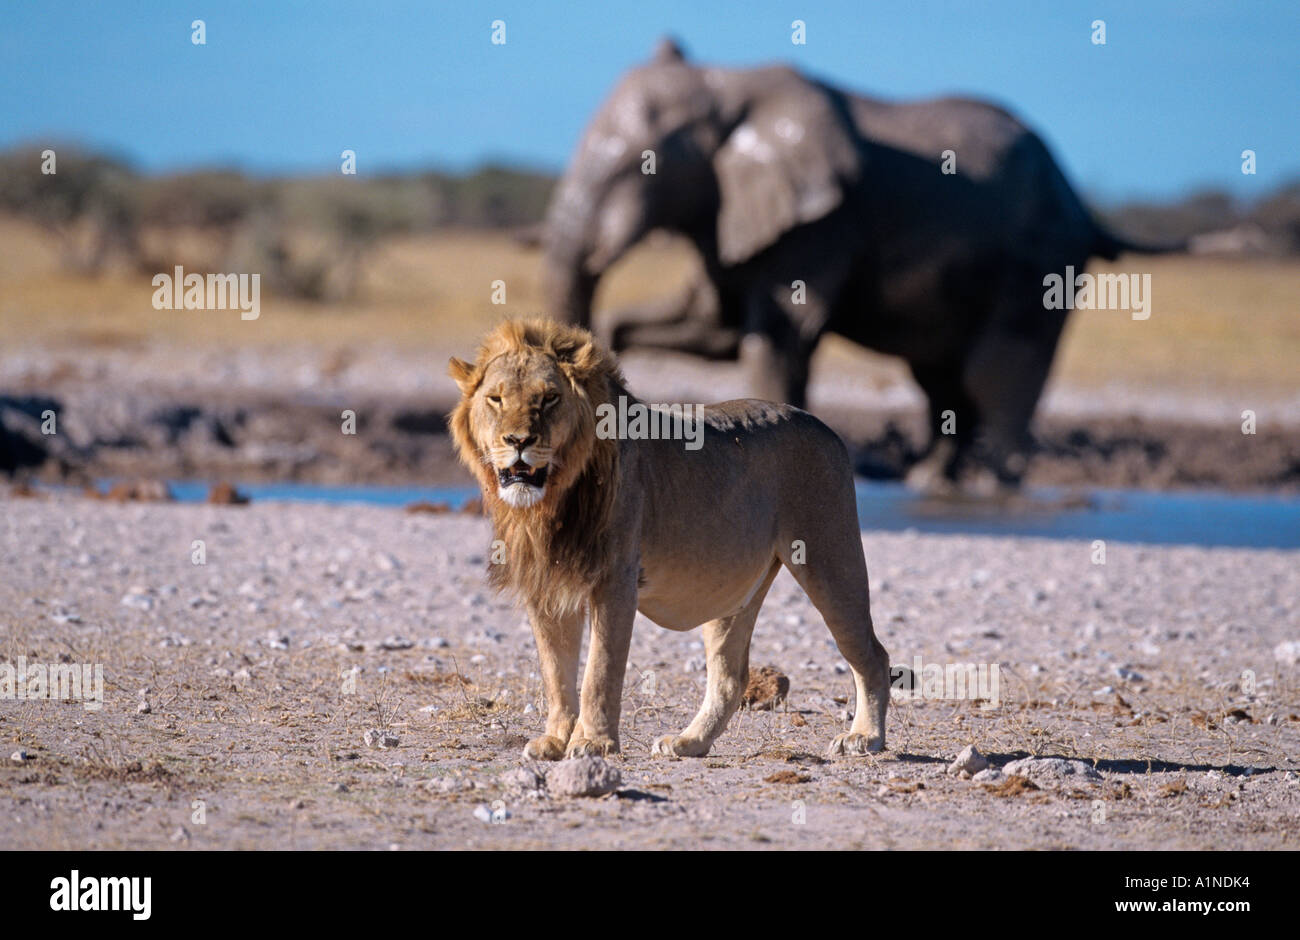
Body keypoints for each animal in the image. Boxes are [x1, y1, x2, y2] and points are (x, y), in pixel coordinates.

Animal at [448, 318, 889, 760]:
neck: (550, 501)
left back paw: (864, 736)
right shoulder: (545, 586)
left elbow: (599, 671)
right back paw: (689, 741)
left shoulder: (616, 579)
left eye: (551, 398)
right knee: (731, 676)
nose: (518, 441)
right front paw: (556, 740)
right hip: (727, 588)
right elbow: (556, 673)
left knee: (872, 654)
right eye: (496, 399)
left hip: (830, 558)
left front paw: (593, 742)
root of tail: (825, 427)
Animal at [541, 39, 1177, 490]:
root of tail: (1083, 205)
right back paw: (931, 481)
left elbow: (777, 340)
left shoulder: (821, 223)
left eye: (645, 163)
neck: (731, 82)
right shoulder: (728, 213)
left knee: (994, 372)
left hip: (1039, 261)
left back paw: (995, 488)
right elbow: (714, 330)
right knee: (941, 381)